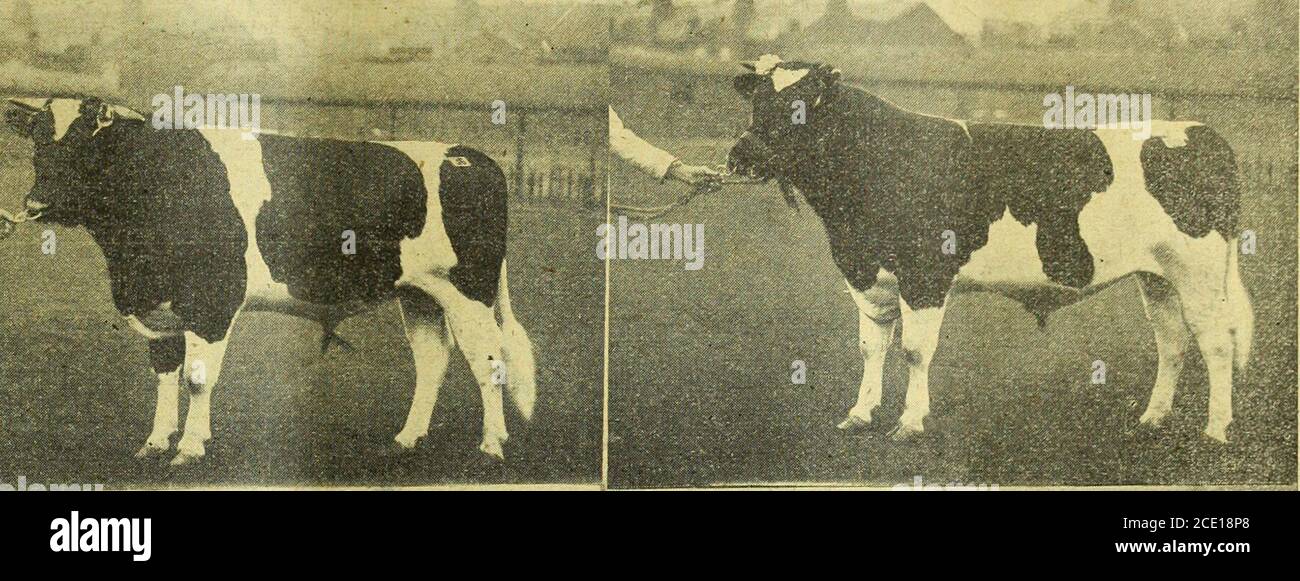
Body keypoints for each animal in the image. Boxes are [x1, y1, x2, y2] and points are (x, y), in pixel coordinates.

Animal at [3, 96, 536, 466]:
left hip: (469, 292)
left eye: (88, 144)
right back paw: (406, 440)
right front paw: (155, 442)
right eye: (38, 143)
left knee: (488, 361)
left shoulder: (213, 300)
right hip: (419, 293)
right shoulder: (161, 305)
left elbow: (197, 379)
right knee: (432, 359)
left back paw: (490, 446)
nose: (36, 203)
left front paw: (190, 448)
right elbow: (165, 373)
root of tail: (471, 156)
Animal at [725, 56, 1253, 444]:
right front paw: (859, 413)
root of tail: (1202, 131)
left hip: (1200, 273)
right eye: (757, 102)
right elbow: (870, 347)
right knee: (1172, 341)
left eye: (801, 105)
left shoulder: (925, 276)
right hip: (1158, 276)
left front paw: (910, 423)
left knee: (1215, 342)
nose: (740, 155)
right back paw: (1153, 417)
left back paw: (1215, 429)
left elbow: (914, 351)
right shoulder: (867, 276)